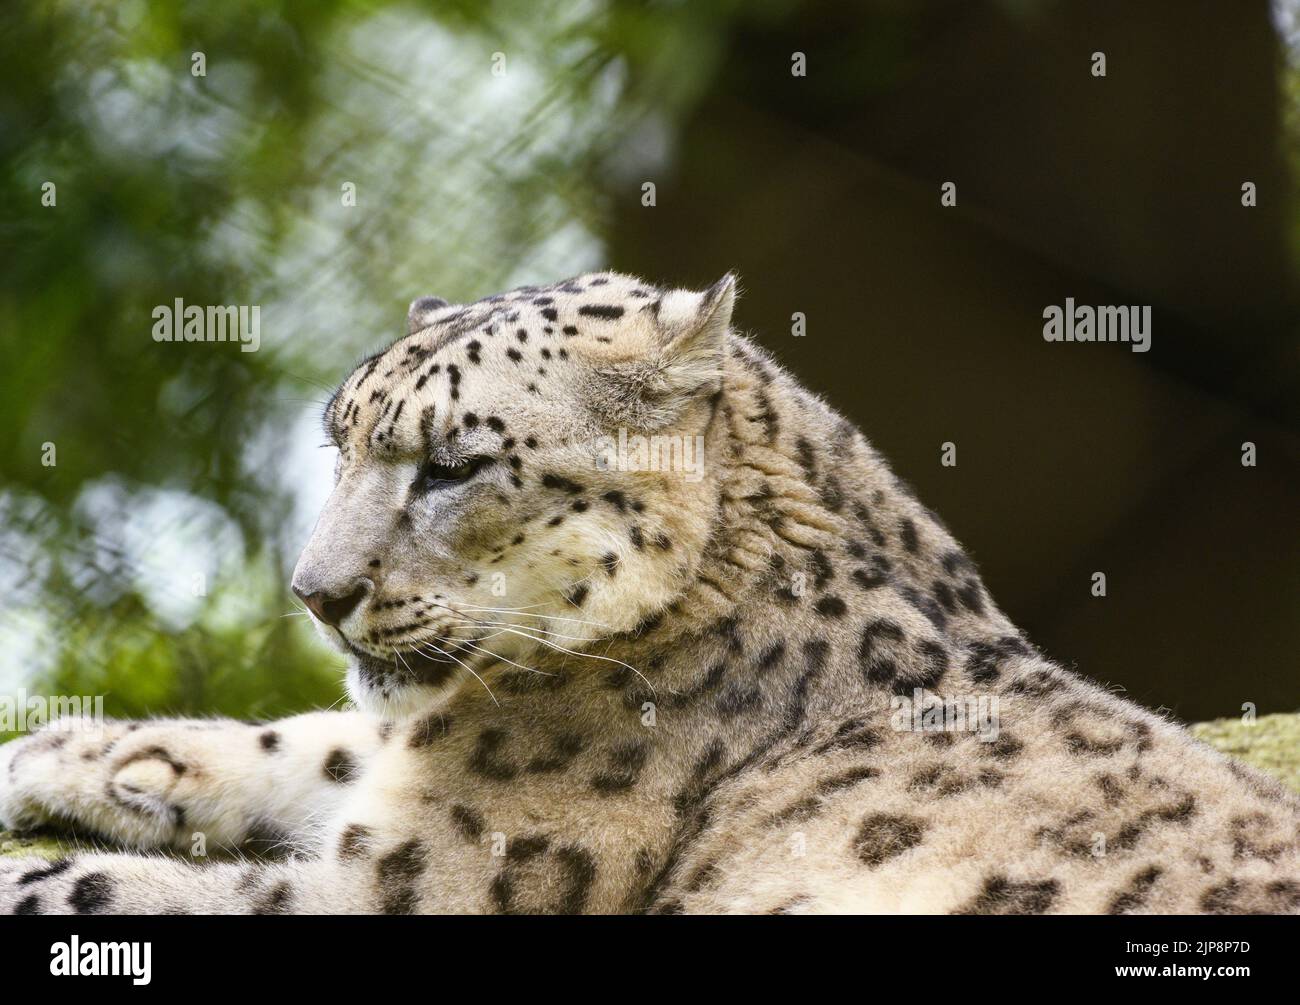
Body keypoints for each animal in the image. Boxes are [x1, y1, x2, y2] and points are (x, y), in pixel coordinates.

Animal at [2, 270, 1297, 915]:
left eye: (451, 465)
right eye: (341, 442)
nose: (318, 594)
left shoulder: (430, 881)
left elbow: (143, 891)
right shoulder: (418, 763)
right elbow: (317, 743)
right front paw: (76, 755)